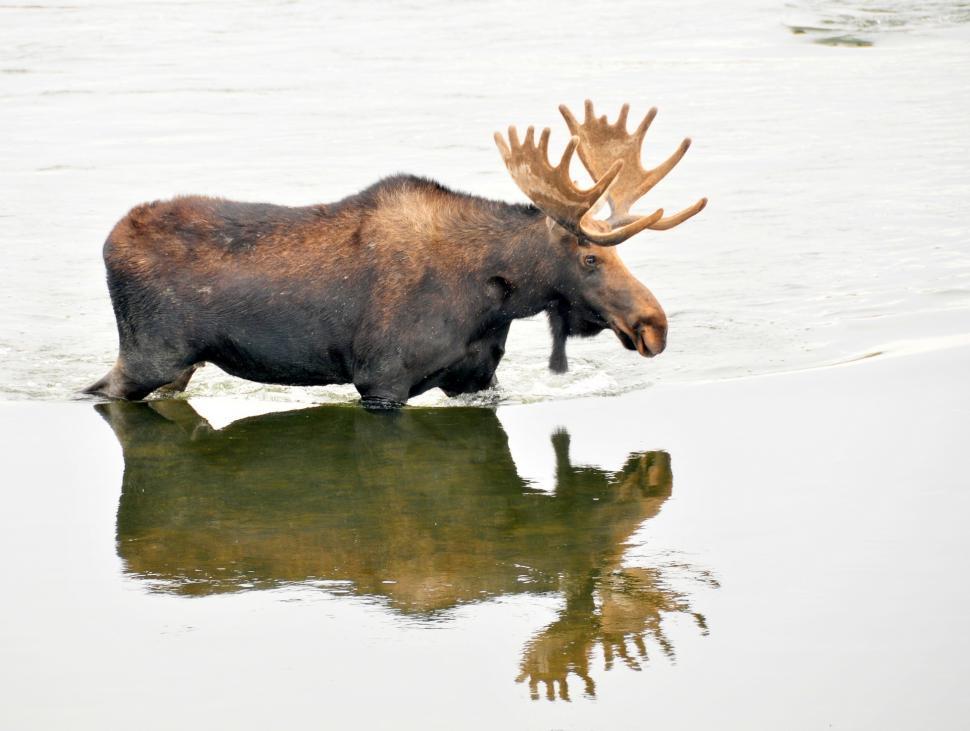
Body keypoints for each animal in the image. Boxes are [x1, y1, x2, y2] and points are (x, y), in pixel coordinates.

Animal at [84, 100, 706, 408]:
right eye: (590, 259)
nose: (654, 325)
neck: (493, 297)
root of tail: (109, 241)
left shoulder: (476, 378)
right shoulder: (382, 379)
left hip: (179, 366)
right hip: (150, 354)